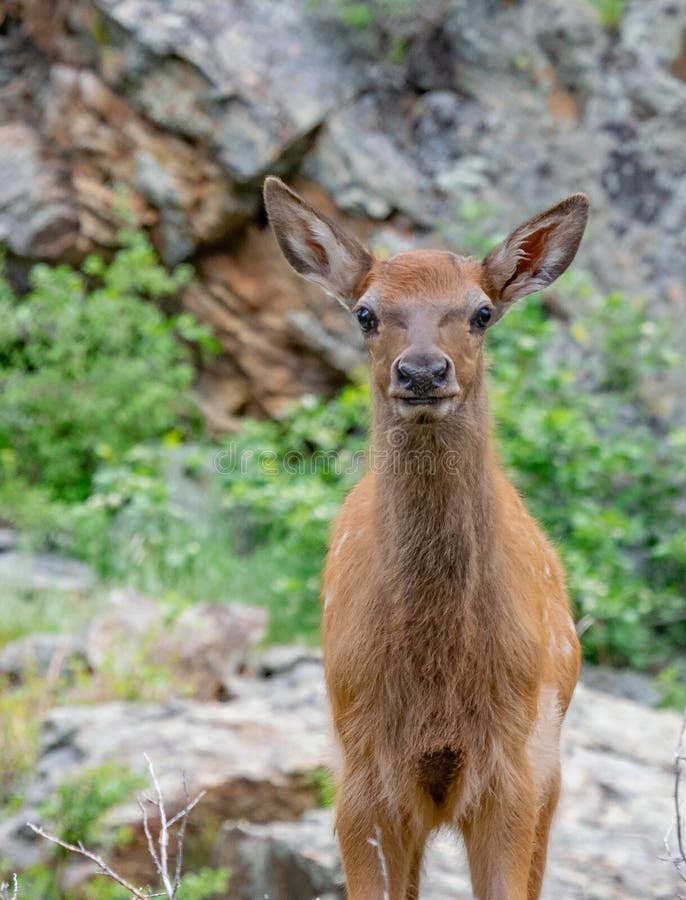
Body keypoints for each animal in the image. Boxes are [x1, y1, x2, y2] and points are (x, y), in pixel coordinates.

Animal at [264, 176, 588, 900]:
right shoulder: (361, 776)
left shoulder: (512, 772)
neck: (438, 684)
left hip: (550, 767)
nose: (420, 372)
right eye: (365, 313)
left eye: (481, 313)